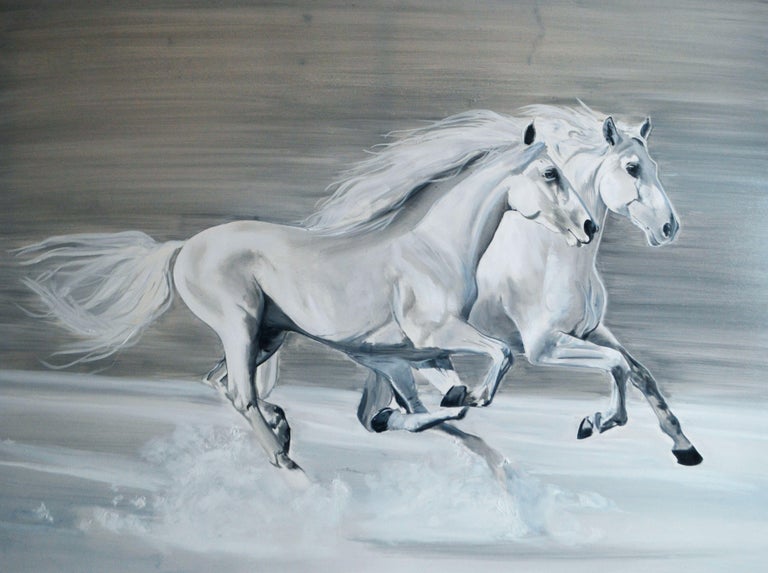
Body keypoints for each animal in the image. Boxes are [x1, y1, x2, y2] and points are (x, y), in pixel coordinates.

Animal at [17, 121, 596, 480]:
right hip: (240, 324)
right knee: (240, 392)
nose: (589, 227)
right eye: (551, 174)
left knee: (222, 383)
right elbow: (500, 355)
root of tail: (182, 248)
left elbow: (422, 408)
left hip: (269, 335)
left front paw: (454, 403)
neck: (431, 246)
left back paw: (283, 430)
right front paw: (470, 397)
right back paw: (286, 461)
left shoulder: (417, 354)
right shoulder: (432, 335)